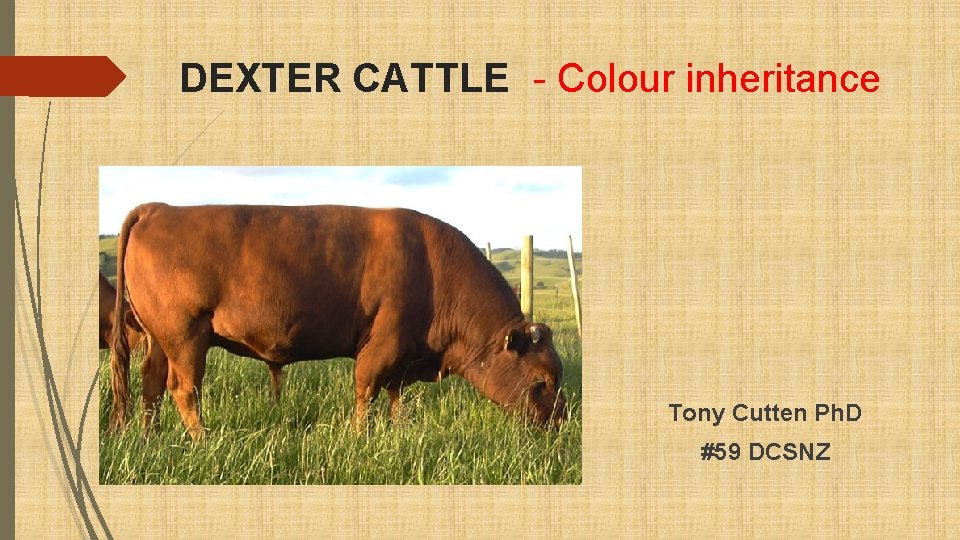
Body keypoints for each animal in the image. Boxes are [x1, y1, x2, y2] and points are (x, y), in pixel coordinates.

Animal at [109, 203, 567, 440]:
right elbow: (367, 390)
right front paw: (360, 437)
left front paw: (397, 431)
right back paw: (203, 441)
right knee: (183, 389)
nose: (561, 422)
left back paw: (149, 437)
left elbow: (395, 396)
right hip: (187, 338)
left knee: (151, 383)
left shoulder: (402, 357)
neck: (436, 271)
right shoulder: (382, 346)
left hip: (161, 341)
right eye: (543, 380)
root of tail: (159, 210)